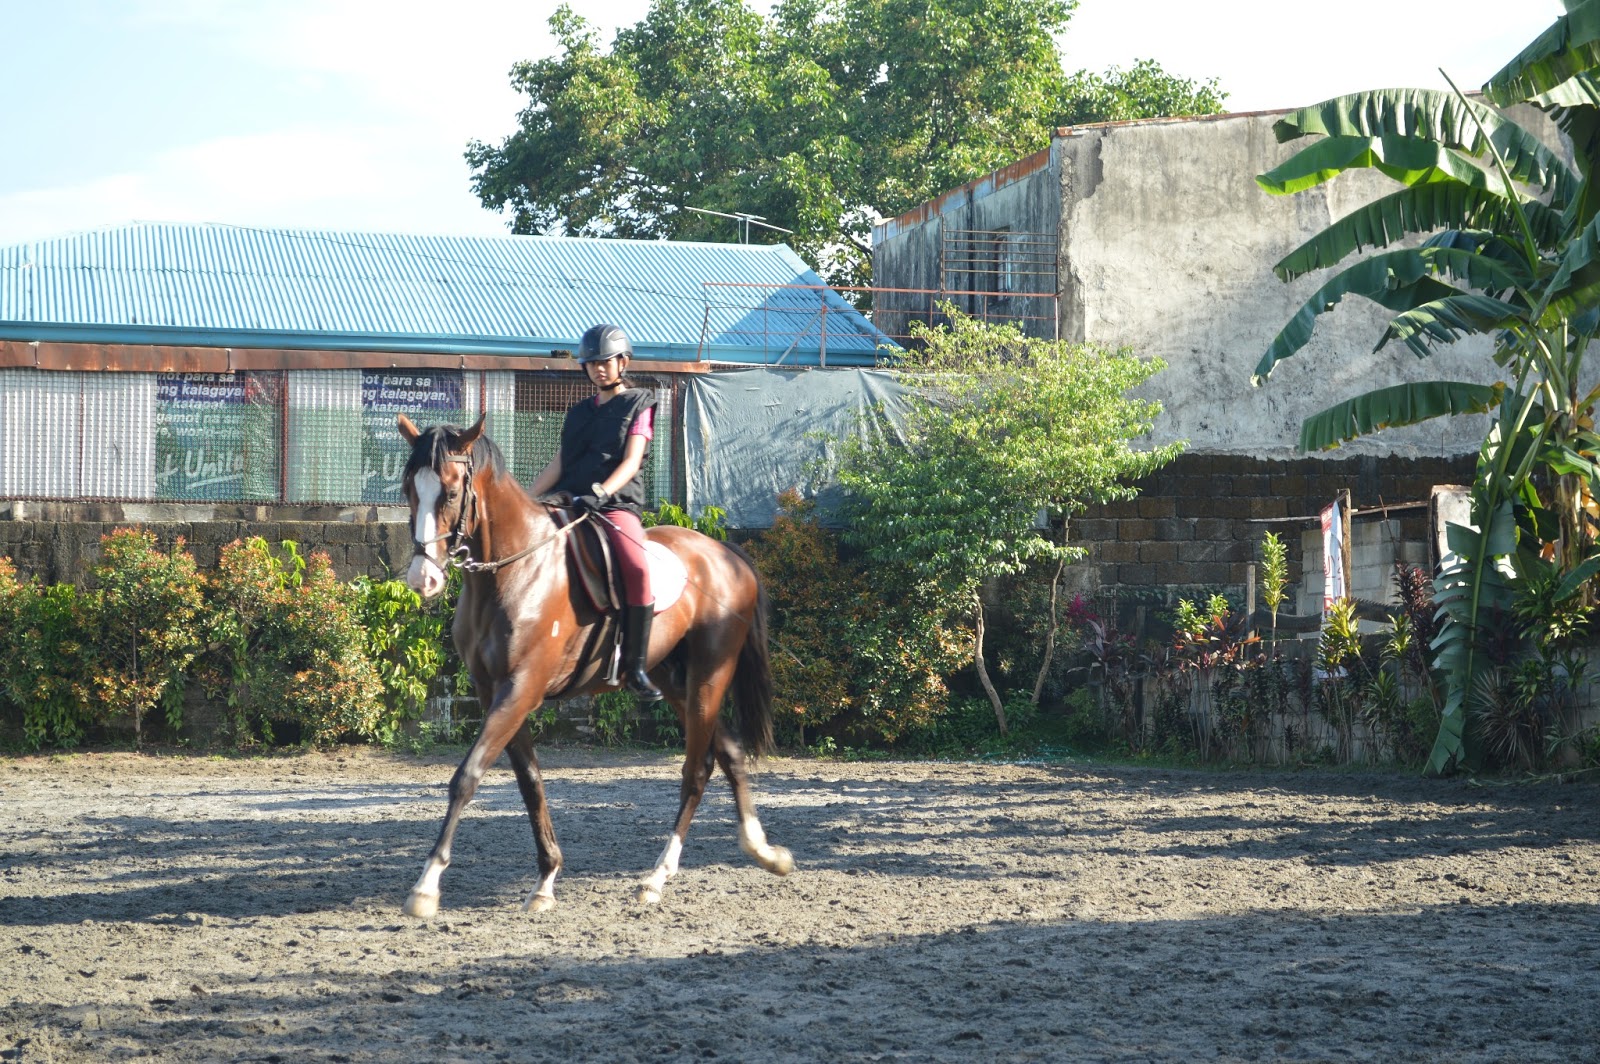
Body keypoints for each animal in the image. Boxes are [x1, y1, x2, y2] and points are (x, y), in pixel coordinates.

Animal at [394, 413, 794, 917]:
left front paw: (426, 886)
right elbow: (529, 781)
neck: (514, 571)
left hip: (709, 676)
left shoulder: (520, 688)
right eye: (409, 489)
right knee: (729, 753)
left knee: (696, 770)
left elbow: (466, 777)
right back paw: (762, 851)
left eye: (449, 492)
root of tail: (726, 553)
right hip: (673, 680)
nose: (422, 578)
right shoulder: (495, 692)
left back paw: (656, 878)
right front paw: (546, 879)